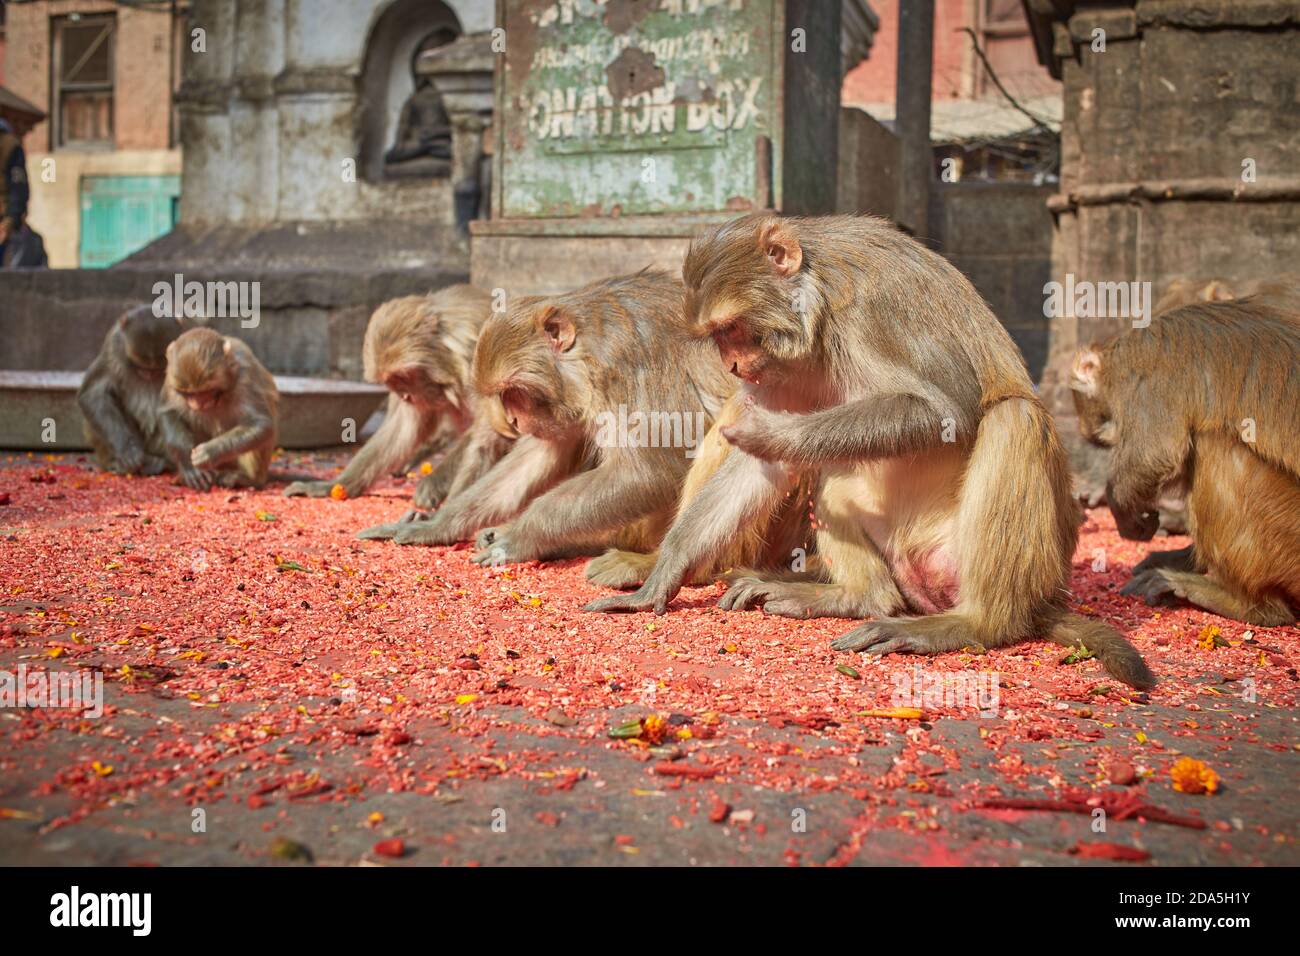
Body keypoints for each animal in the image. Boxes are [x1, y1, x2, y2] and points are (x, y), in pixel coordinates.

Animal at [78, 304, 192, 480]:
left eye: (158, 368)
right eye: (140, 367)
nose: (149, 374)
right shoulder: (113, 345)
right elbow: (94, 393)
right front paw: (127, 449)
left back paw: (162, 463)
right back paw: (119, 463)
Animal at [160, 327, 279, 489]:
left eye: (206, 391)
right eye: (189, 393)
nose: (198, 404)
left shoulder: (245, 376)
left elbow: (261, 424)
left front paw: (209, 452)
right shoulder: (170, 379)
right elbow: (169, 412)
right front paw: (189, 465)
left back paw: (248, 479)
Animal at [284, 285, 496, 506]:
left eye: (402, 376)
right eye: (390, 381)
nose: (405, 396)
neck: (452, 359)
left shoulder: (478, 363)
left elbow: (487, 432)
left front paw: (433, 483)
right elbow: (404, 429)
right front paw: (333, 485)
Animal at [359, 271, 735, 564]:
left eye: (513, 391)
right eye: (502, 394)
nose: (513, 420)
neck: (585, 354)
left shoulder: (623, 367)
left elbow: (647, 474)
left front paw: (520, 536)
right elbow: (539, 455)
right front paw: (436, 524)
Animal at [586, 214, 1155, 690]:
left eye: (730, 329)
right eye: (715, 336)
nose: (730, 365)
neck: (816, 314)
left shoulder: (870, 310)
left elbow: (942, 410)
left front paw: (776, 435)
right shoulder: (780, 368)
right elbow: (762, 469)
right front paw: (664, 572)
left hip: (1000, 559)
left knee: (1013, 418)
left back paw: (973, 622)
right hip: (905, 561)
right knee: (836, 477)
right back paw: (854, 597)